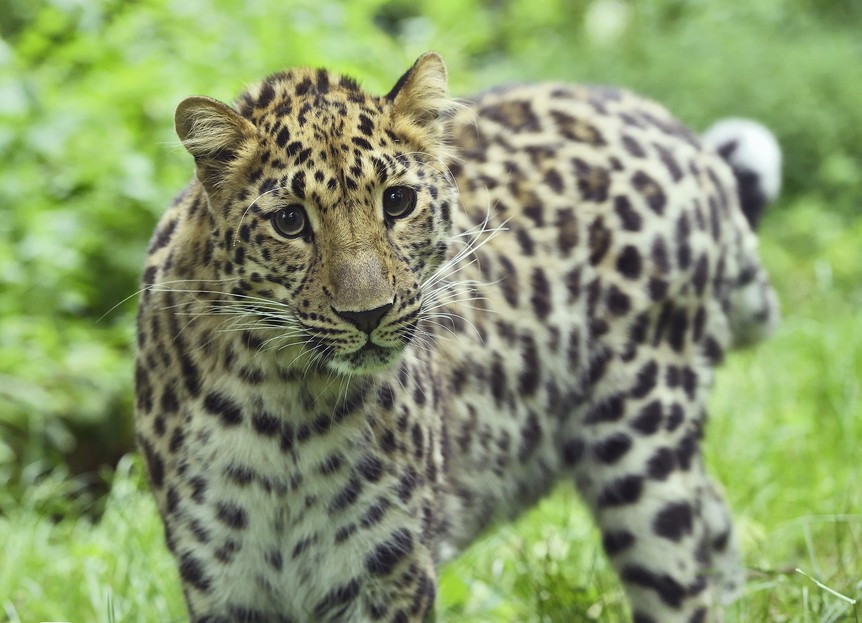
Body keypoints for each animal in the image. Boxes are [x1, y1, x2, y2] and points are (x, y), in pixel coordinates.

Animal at [134, 52, 780, 623]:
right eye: (290, 221)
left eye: (397, 202)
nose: (369, 314)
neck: (285, 408)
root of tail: (683, 137)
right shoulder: (223, 584)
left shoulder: (387, 573)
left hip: (642, 440)